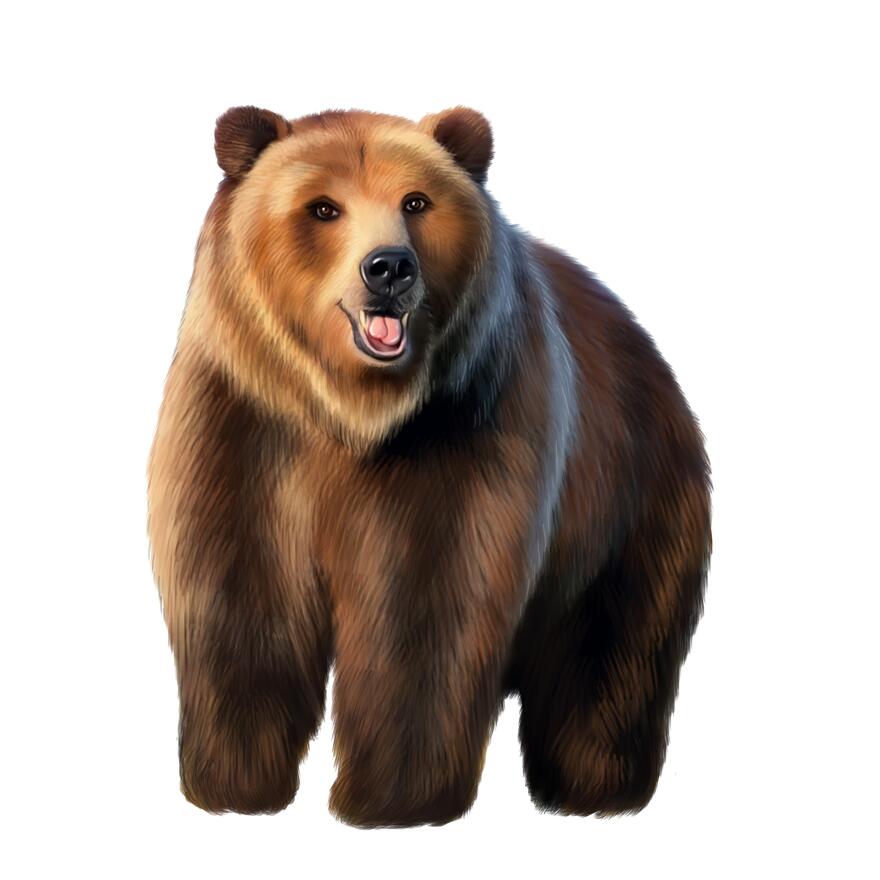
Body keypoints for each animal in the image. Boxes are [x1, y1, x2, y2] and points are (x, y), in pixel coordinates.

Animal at [147, 105, 712, 827]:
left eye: (416, 201)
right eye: (322, 207)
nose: (389, 267)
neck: (349, 413)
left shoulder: (463, 439)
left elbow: (423, 613)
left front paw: (391, 801)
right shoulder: (243, 432)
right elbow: (240, 601)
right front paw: (236, 785)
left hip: (627, 501)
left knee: (608, 651)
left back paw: (591, 791)